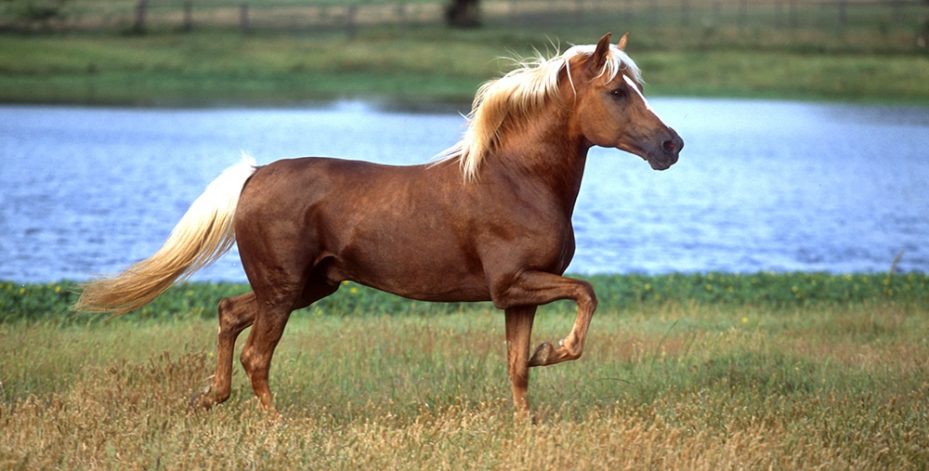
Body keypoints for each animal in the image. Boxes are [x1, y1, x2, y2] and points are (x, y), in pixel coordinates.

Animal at [75, 33, 683, 415]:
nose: (671, 146)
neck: (518, 179)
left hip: (305, 285)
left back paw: (209, 398)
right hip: (284, 289)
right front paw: (554, 351)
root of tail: (254, 175)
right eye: (617, 91)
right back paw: (275, 425)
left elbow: (517, 367)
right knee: (256, 354)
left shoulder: (519, 297)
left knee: (228, 314)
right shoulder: (512, 284)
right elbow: (586, 295)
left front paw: (528, 416)